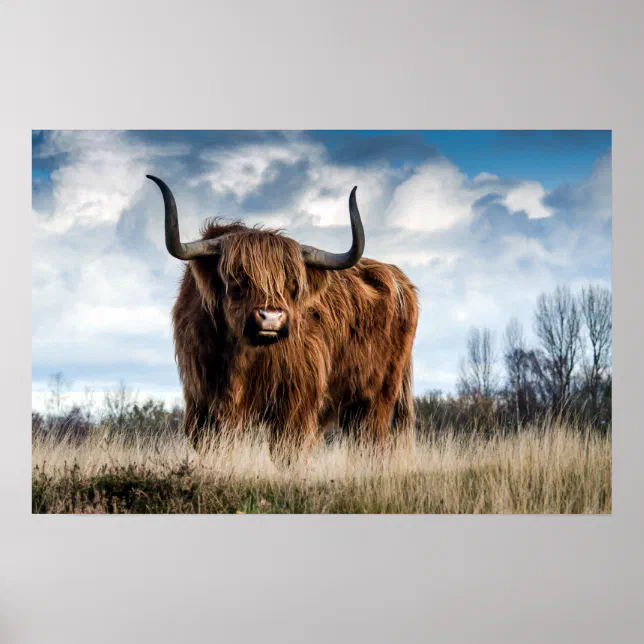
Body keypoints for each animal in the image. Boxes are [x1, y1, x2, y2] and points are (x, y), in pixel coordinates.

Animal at [146, 175, 419, 456]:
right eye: (237, 276)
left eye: (292, 282)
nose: (271, 317)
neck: (240, 357)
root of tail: (398, 277)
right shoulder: (202, 403)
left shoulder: (295, 404)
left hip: (376, 398)